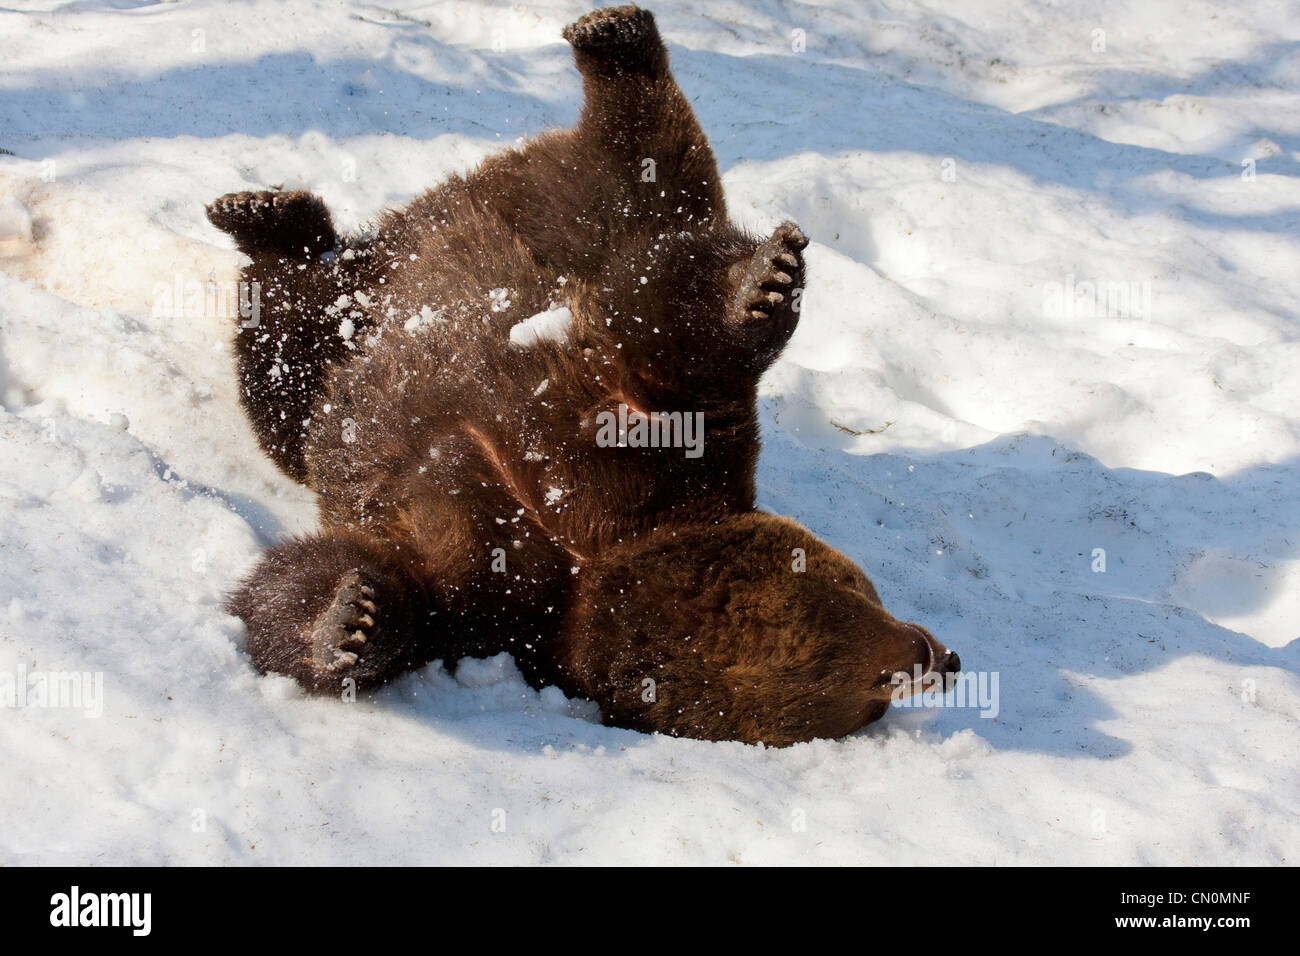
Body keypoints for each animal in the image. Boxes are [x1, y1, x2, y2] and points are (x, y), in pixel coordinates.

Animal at [205, 4, 959, 746]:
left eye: (873, 699)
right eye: (863, 587)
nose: (941, 656)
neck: (589, 560)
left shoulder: (503, 605)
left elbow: (364, 579)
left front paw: (350, 622)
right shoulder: (639, 455)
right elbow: (676, 342)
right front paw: (761, 287)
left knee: (288, 360)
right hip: (589, 208)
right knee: (657, 157)